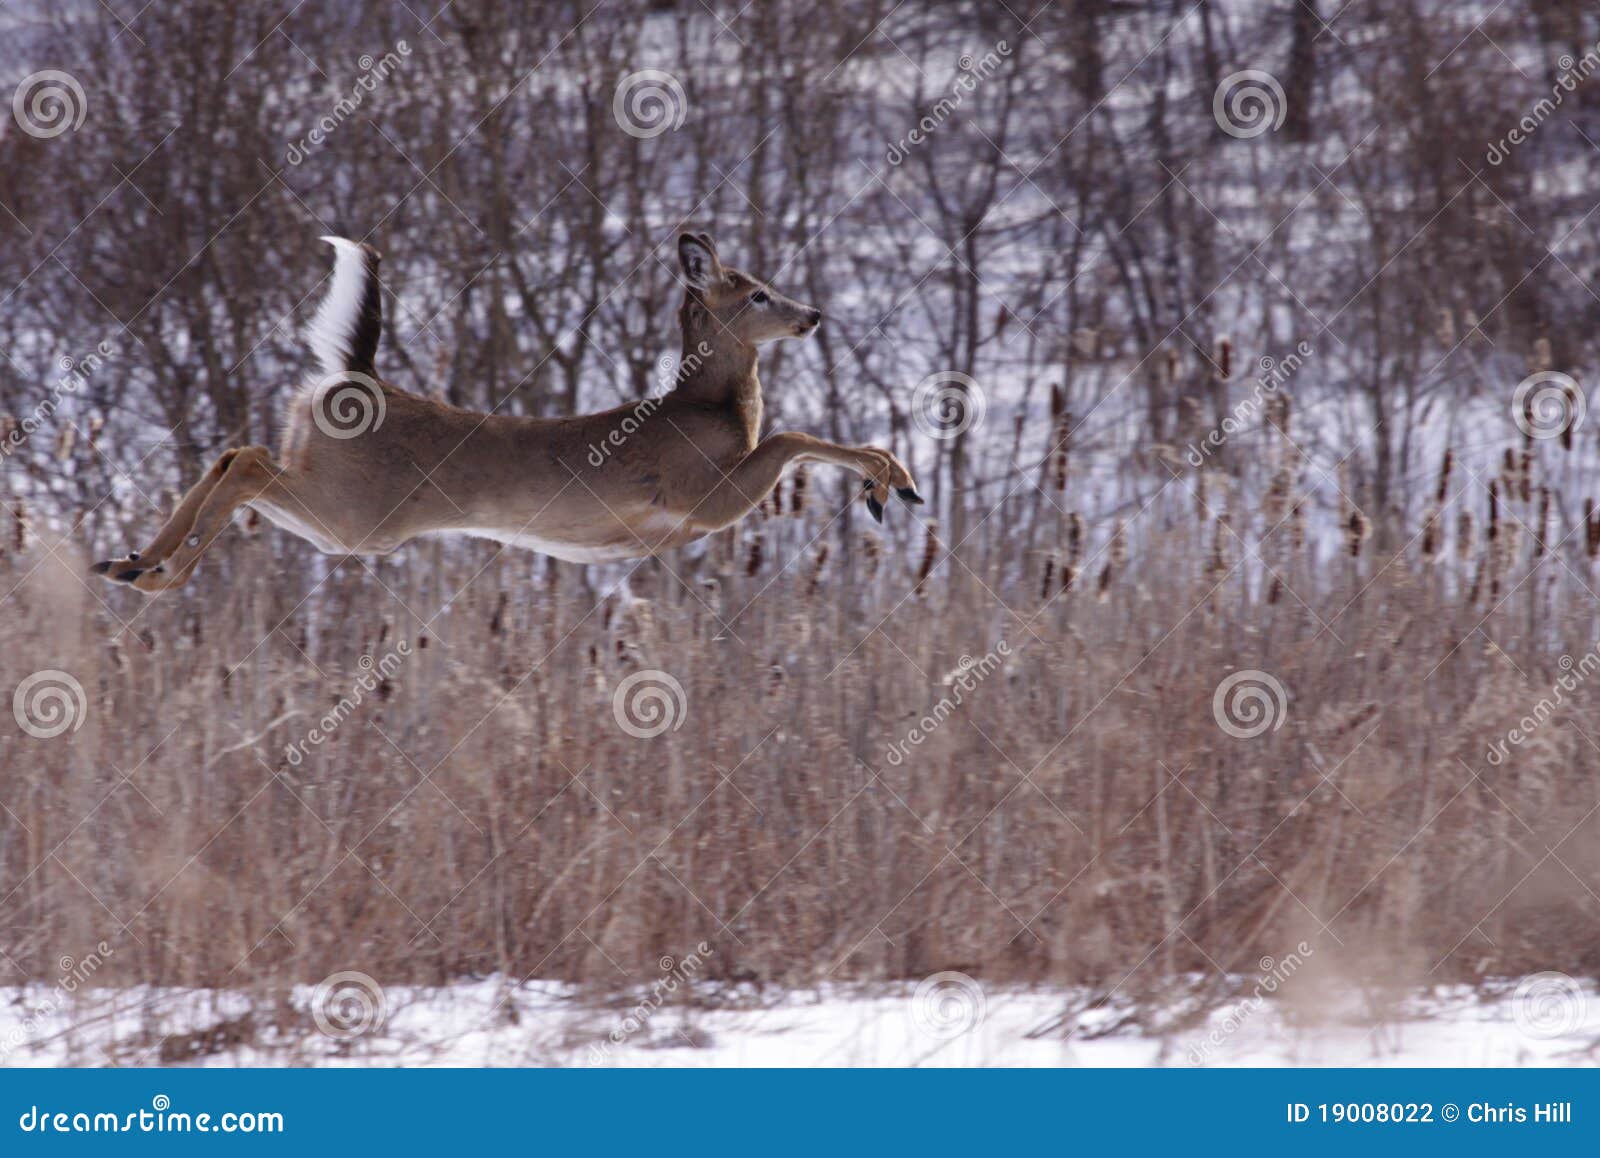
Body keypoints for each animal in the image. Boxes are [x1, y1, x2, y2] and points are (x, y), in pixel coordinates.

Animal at [92, 231, 922, 592]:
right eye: (755, 293)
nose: (812, 314)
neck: (711, 407)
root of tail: (355, 378)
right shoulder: (704, 497)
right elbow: (791, 433)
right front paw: (893, 483)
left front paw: (890, 486)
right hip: (356, 511)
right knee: (248, 465)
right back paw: (153, 575)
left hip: (338, 507)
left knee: (238, 454)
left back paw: (128, 562)